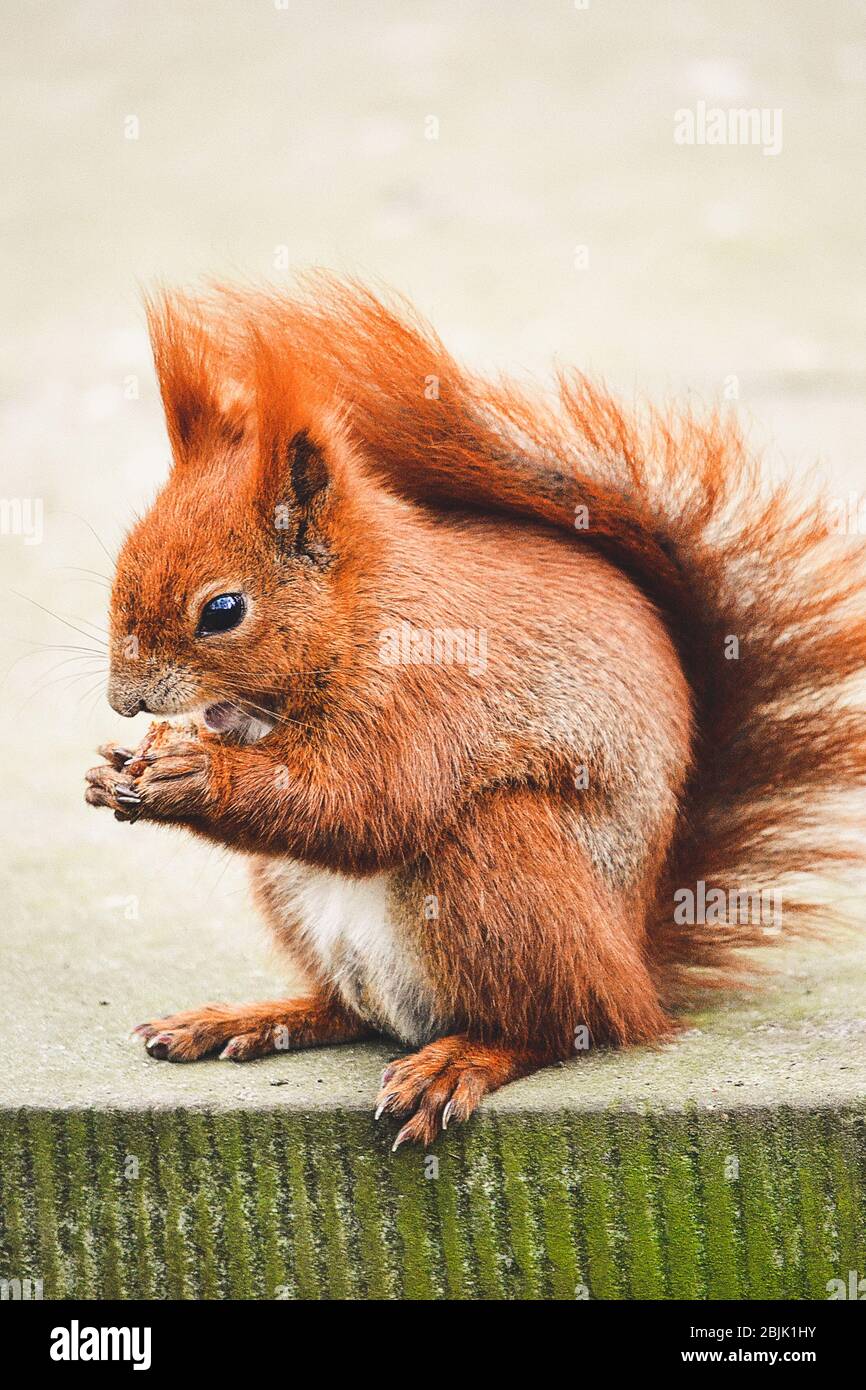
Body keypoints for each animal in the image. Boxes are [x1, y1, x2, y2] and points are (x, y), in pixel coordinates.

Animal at [85, 276, 866, 1148]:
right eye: (124, 559)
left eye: (222, 610)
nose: (125, 700)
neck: (364, 609)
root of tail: (634, 965)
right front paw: (113, 772)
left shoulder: (431, 695)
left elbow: (372, 802)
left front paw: (190, 773)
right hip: (295, 896)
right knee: (352, 1012)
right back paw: (253, 1017)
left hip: (501, 859)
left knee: (563, 1025)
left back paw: (463, 1060)